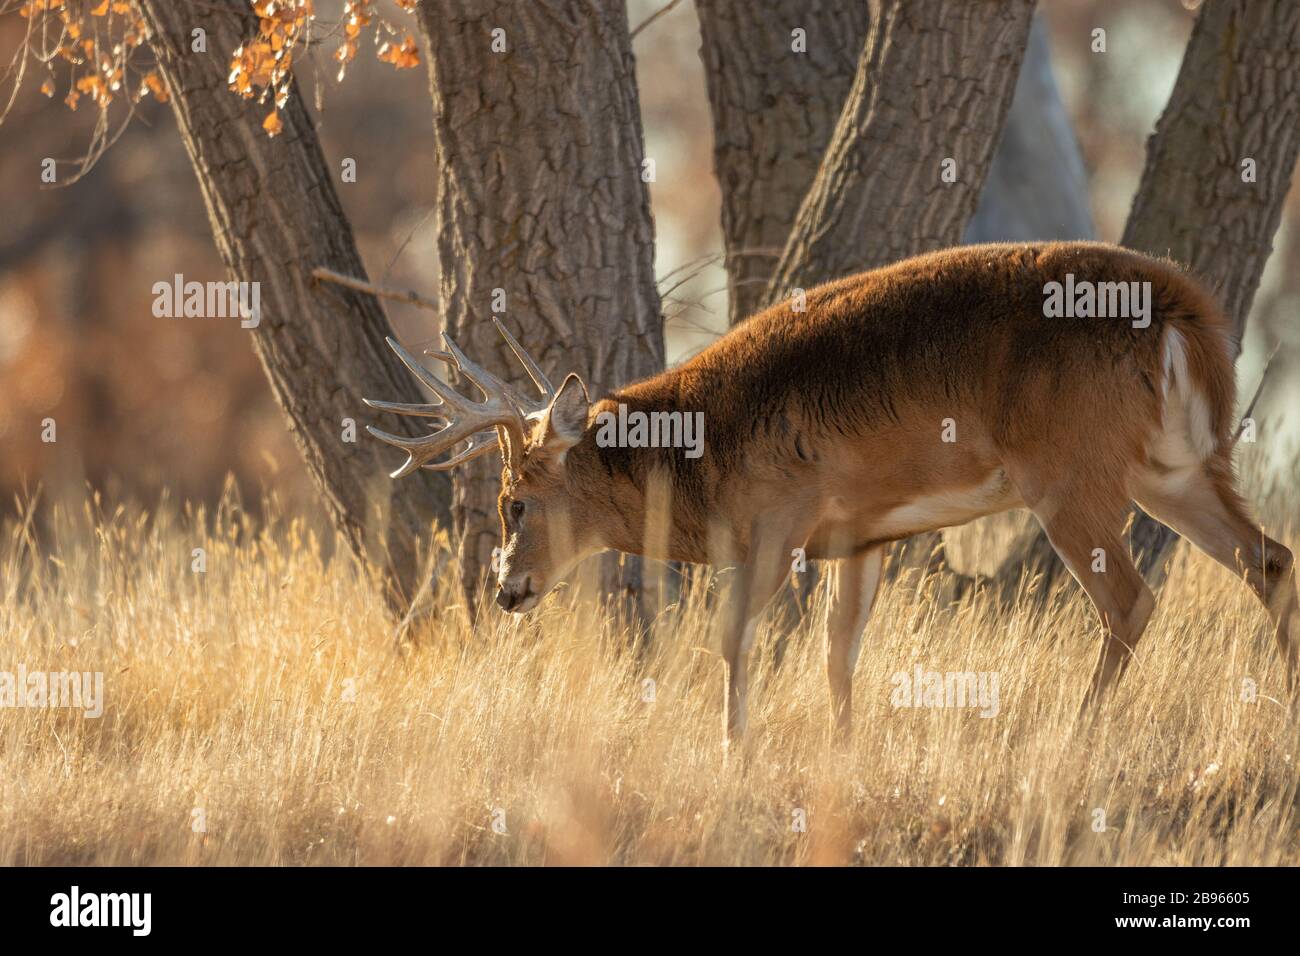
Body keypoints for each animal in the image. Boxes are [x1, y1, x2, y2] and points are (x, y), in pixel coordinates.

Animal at [365, 241, 1298, 742]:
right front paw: (840, 755)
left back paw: (1078, 735)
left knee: (1132, 599)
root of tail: (1185, 313)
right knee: (1272, 559)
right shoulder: (861, 534)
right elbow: (837, 656)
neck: (702, 449)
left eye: (515, 501)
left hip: (1069, 470)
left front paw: (733, 753)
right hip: (1173, 468)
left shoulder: (781, 517)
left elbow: (733, 638)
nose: (506, 588)